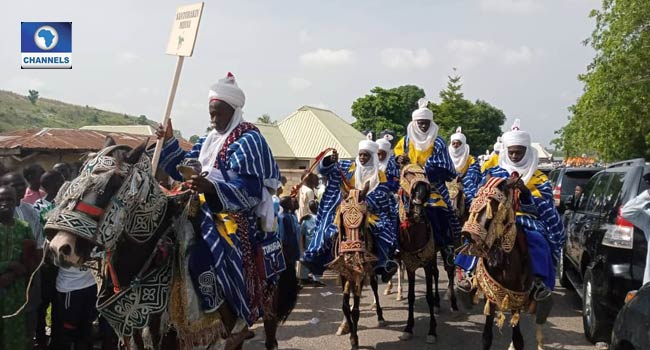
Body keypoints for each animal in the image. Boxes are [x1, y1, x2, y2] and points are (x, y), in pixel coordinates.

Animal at [394, 165, 456, 344]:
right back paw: (437, 303)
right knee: (437, 273)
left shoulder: (426, 263)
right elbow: (411, 296)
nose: (418, 205)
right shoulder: (410, 266)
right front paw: (408, 328)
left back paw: (452, 305)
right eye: (406, 175)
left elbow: (427, 296)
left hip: (445, 249)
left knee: (449, 271)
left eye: (425, 175)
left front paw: (432, 331)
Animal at [458, 175, 548, 350]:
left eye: (494, 205)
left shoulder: (517, 299)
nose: (469, 234)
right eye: (476, 197)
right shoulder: (491, 295)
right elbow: (486, 337)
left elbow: (518, 340)